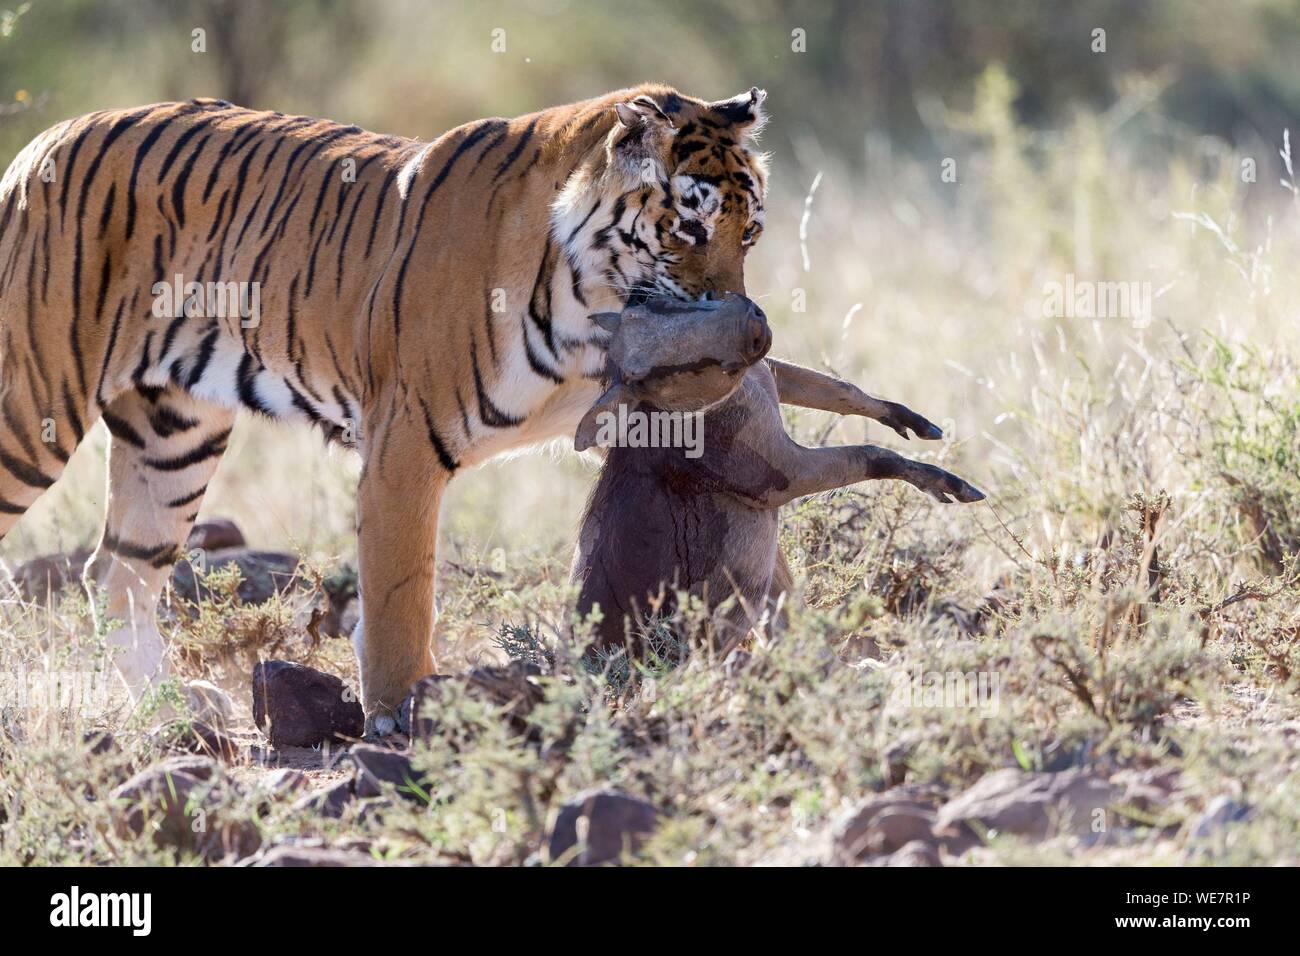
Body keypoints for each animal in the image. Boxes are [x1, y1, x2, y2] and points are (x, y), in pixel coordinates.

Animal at [0, 84, 770, 733]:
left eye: (750, 233)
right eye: (689, 228)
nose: (746, 322)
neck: (589, 310)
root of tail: (41, 142)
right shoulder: (405, 442)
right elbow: (402, 592)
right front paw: (403, 712)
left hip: (173, 432)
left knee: (116, 575)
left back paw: (175, 707)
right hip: (31, 410)